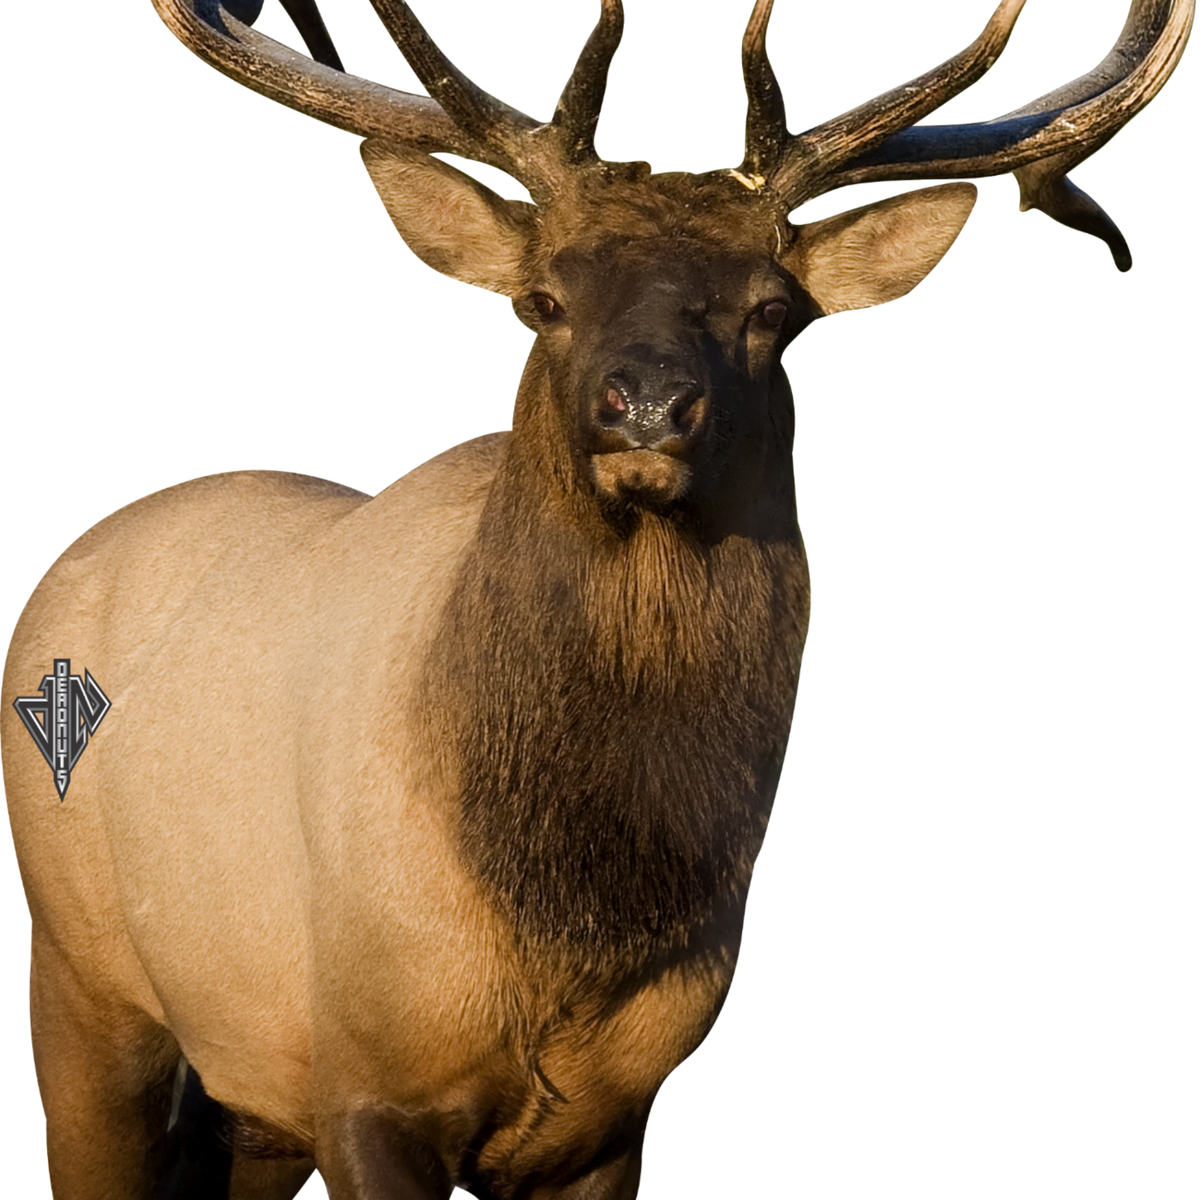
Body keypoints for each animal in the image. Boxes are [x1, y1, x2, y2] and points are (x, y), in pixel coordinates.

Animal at [2, 2, 1193, 1198]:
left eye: (773, 309)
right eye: (545, 299)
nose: (649, 404)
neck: (569, 920)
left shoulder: (612, 1115)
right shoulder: (364, 1078)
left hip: (246, 1095)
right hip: (79, 977)